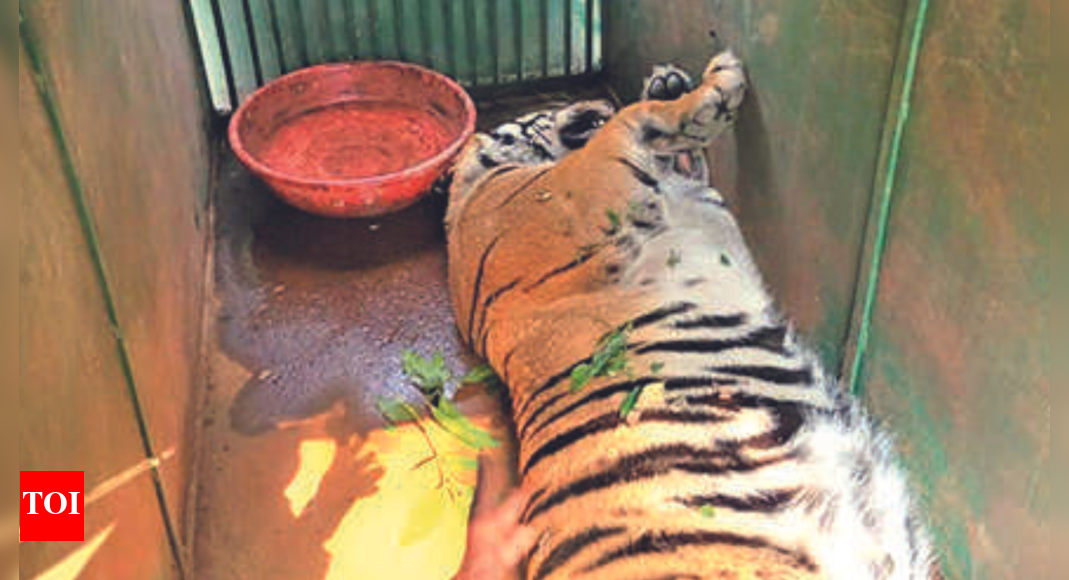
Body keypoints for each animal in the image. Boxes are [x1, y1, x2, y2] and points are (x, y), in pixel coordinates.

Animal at [446, 51, 936, 580]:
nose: (596, 99)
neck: (474, 195)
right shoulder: (585, 183)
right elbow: (633, 120)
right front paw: (715, 86)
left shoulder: (689, 201)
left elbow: (682, 155)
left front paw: (669, 84)